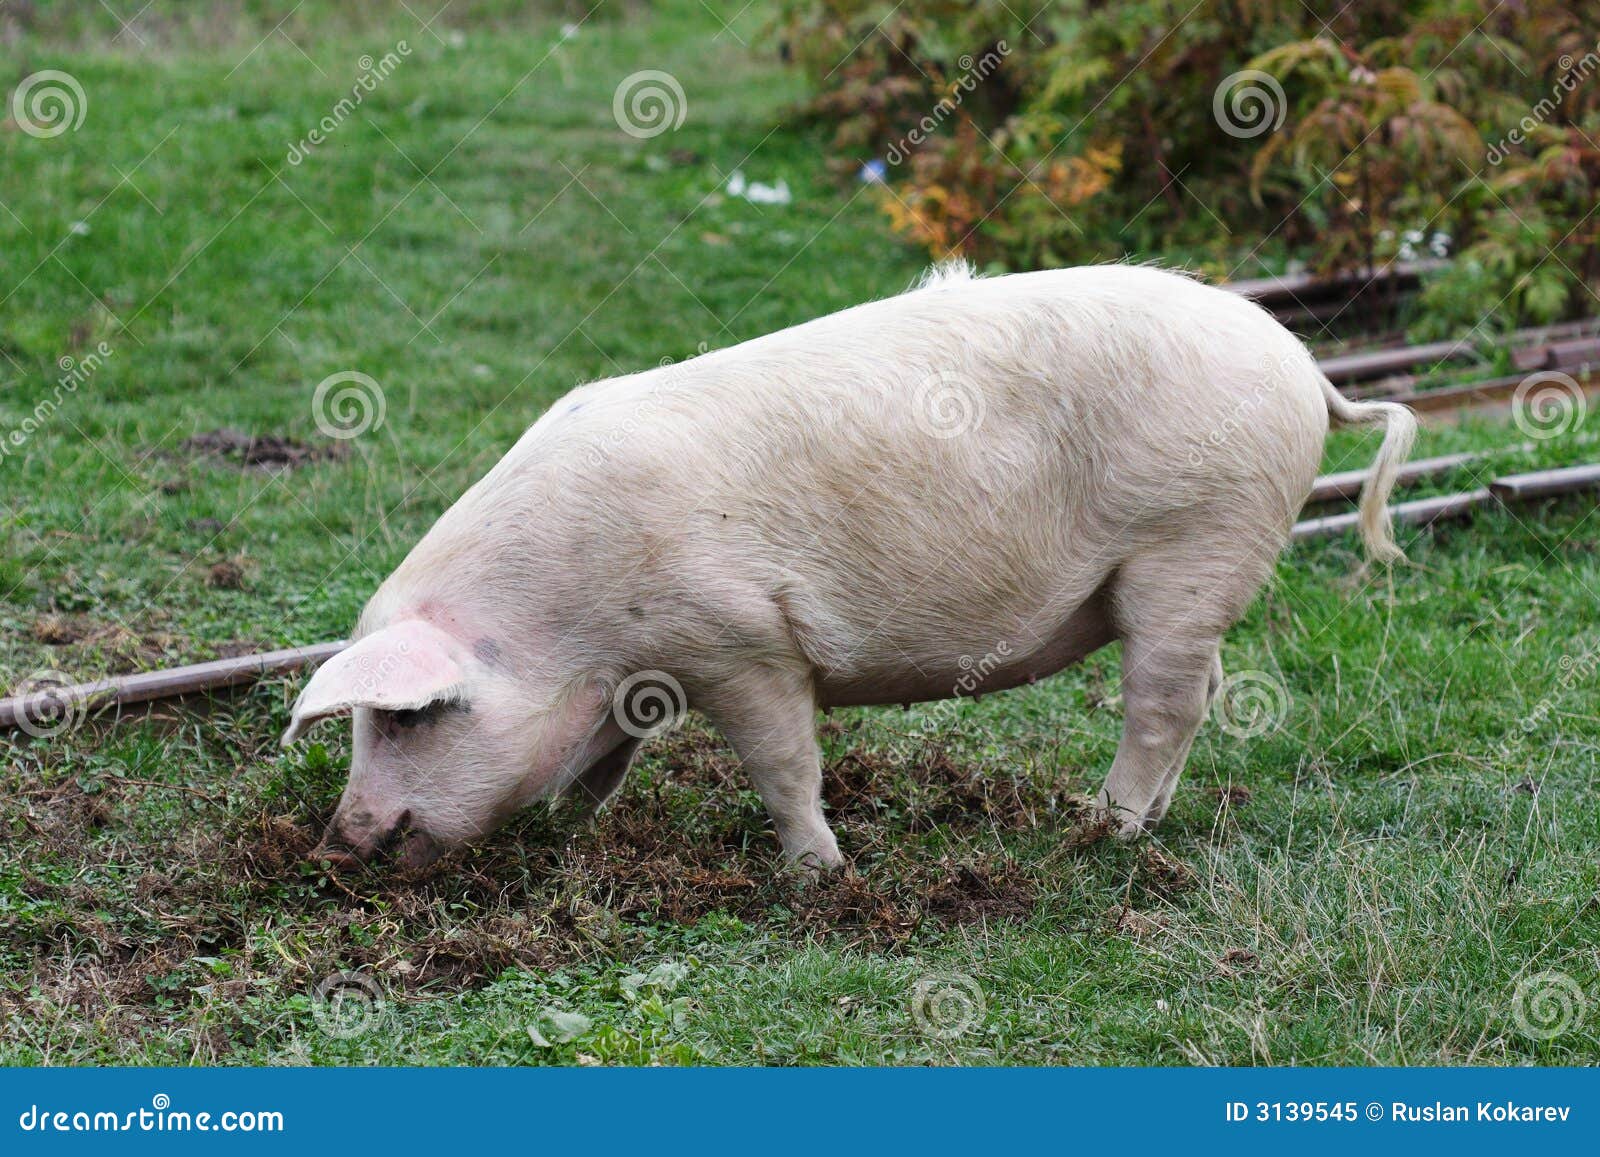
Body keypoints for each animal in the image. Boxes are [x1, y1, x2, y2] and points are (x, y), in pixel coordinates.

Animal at [282, 263, 1415, 871]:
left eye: (409, 718)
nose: (337, 844)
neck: (560, 625)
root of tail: (1306, 368)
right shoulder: (634, 674)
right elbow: (601, 760)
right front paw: (571, 829)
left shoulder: (742, 642)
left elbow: (783, 763)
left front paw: (816, 874)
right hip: (1194, 567)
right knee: (1204, 683)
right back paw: (1144, 821)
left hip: (1194, 535)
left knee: (1164, 701)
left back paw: (1101, 831)